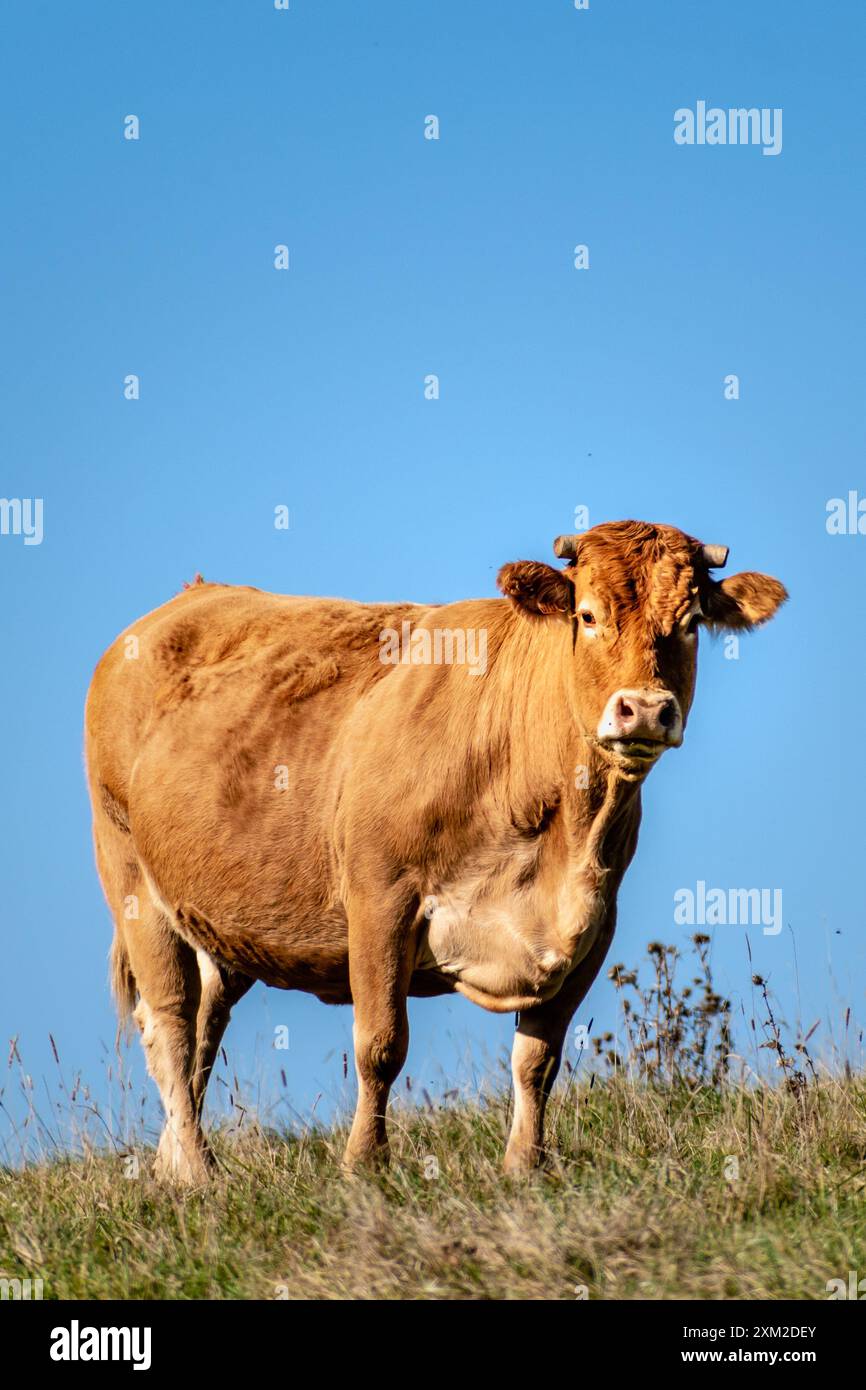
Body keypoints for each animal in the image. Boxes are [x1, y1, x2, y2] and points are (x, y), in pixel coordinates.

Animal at [84, 520, 786, 1182]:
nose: (643, 710)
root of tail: (190, 597)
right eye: (588, 615)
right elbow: (381, 1044)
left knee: (204, 1024)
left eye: (690, 624)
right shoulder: (380, 895)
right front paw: (365, 1164)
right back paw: (199, 1170)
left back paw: (170, 1165)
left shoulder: (595, 925)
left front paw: (524, 1165)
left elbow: (538, 1059)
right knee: (171, 1022)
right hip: (130, 876)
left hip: (222, 920)